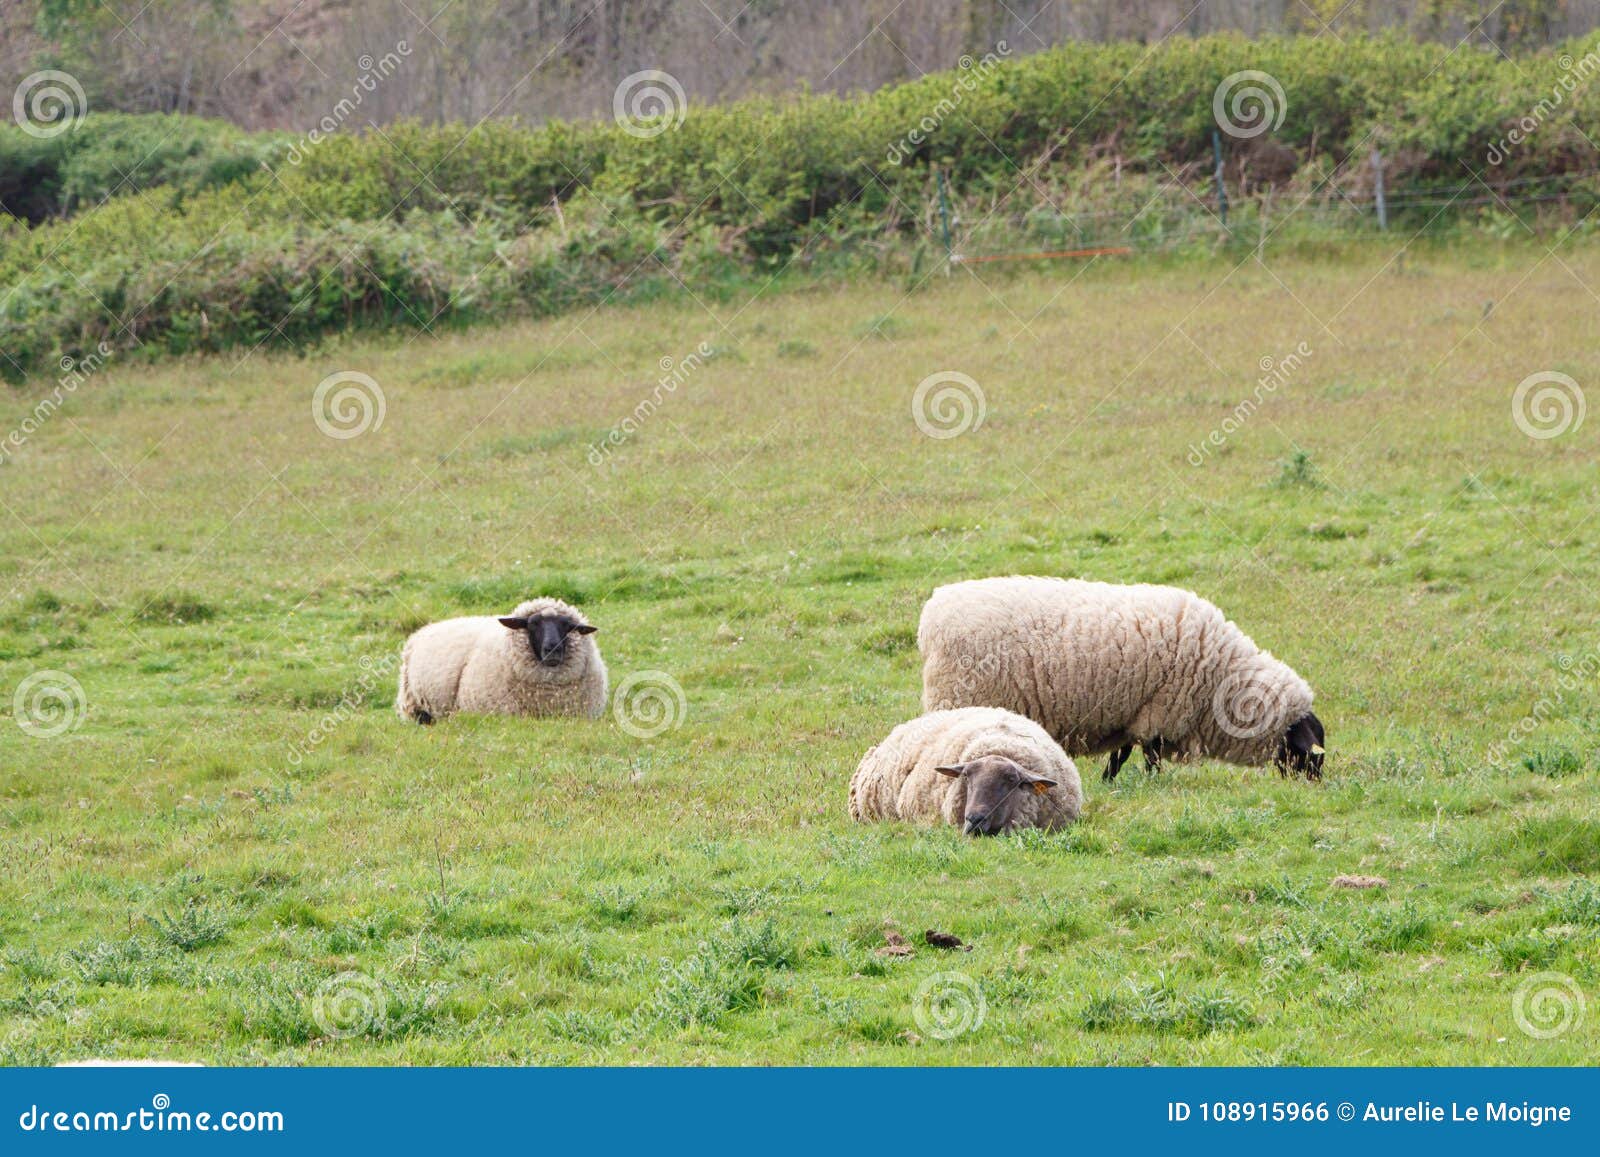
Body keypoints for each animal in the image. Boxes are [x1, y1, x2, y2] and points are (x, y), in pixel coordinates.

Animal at [395, 597, 606, 723]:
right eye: (532, 624)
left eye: (568, 626)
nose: (552, 649)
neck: (549, 698)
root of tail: (425, 628)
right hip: (414, 703)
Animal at [918, 577, 1324, 782]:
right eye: (1309, 753)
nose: (1316, 786)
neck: (1222, 674)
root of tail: (933, 612)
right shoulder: (1161, 710)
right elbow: (1150, 757)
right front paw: (1151, 783)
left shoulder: (1131, 712)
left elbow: (1122, 753)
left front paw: (1108, 781)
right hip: (957, 695)